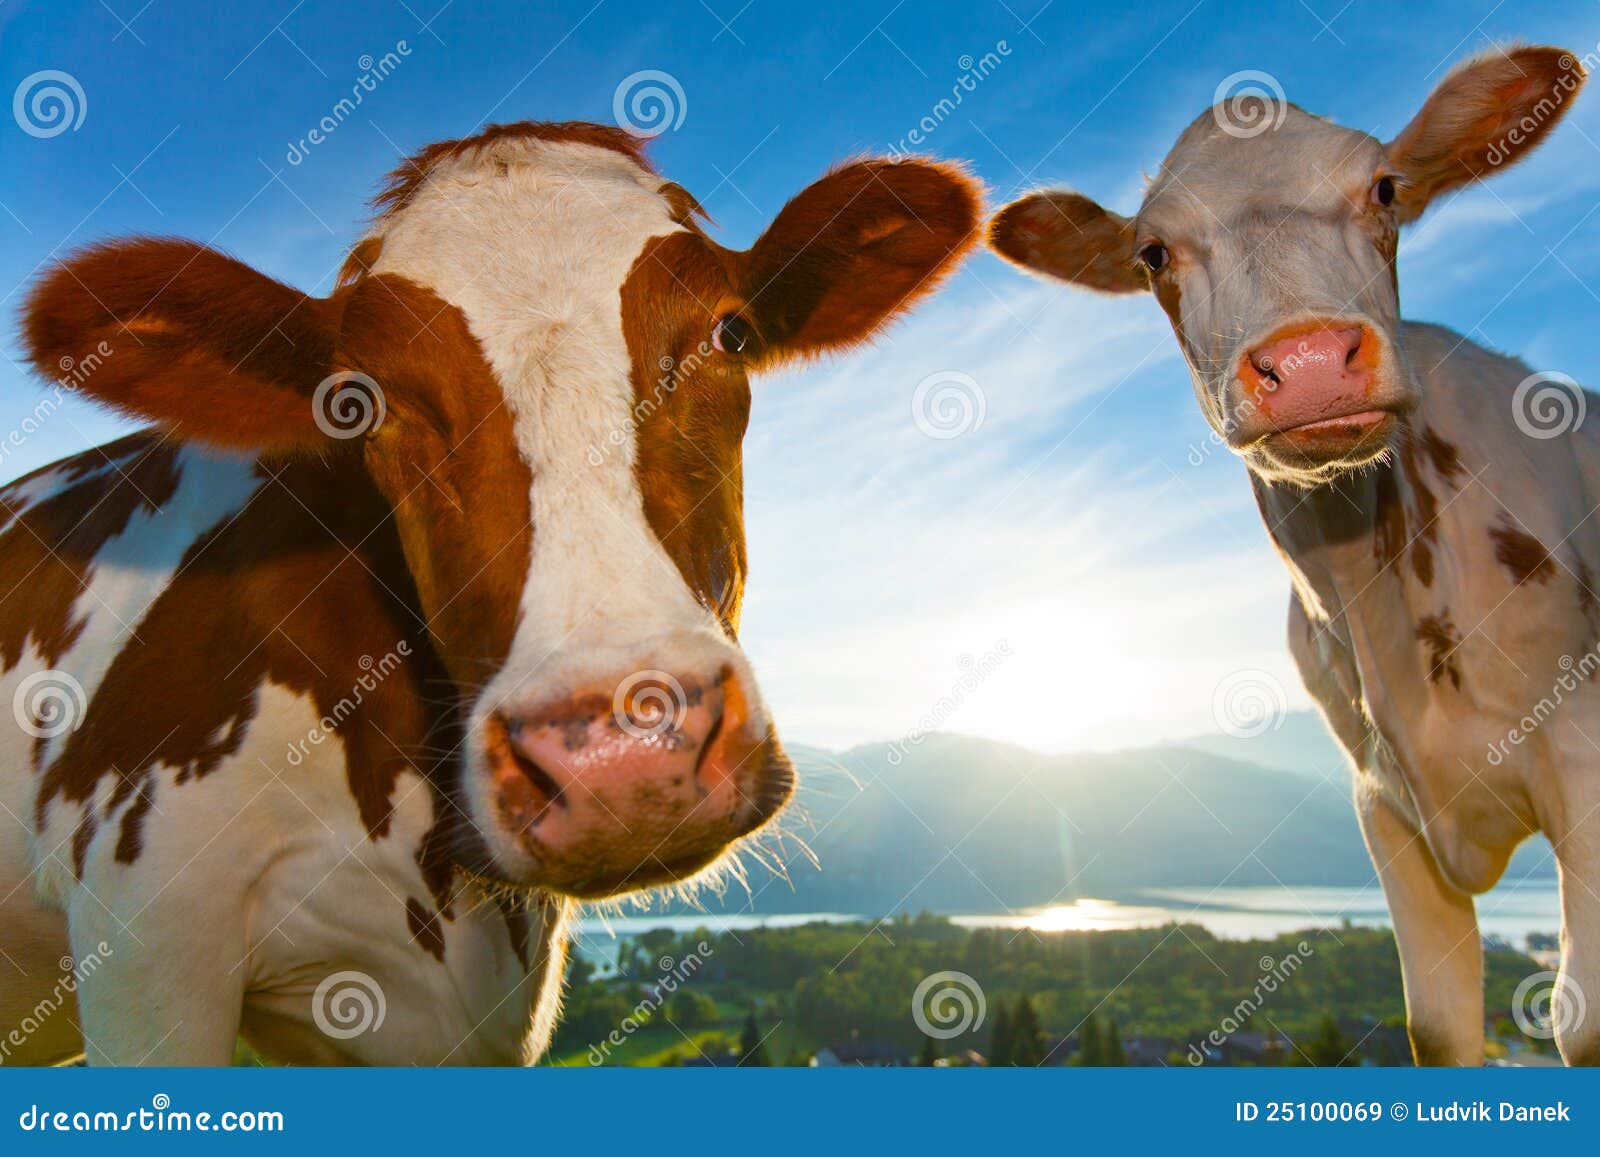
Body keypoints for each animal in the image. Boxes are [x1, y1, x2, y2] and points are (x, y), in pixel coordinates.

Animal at [990, 46, 1594, 1065]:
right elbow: (1436, 1026)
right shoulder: (1381, 802)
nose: (1310, 363)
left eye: (1385, 188)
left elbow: (1577, 1018)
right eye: (1153, 253)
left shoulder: (1581, 756)